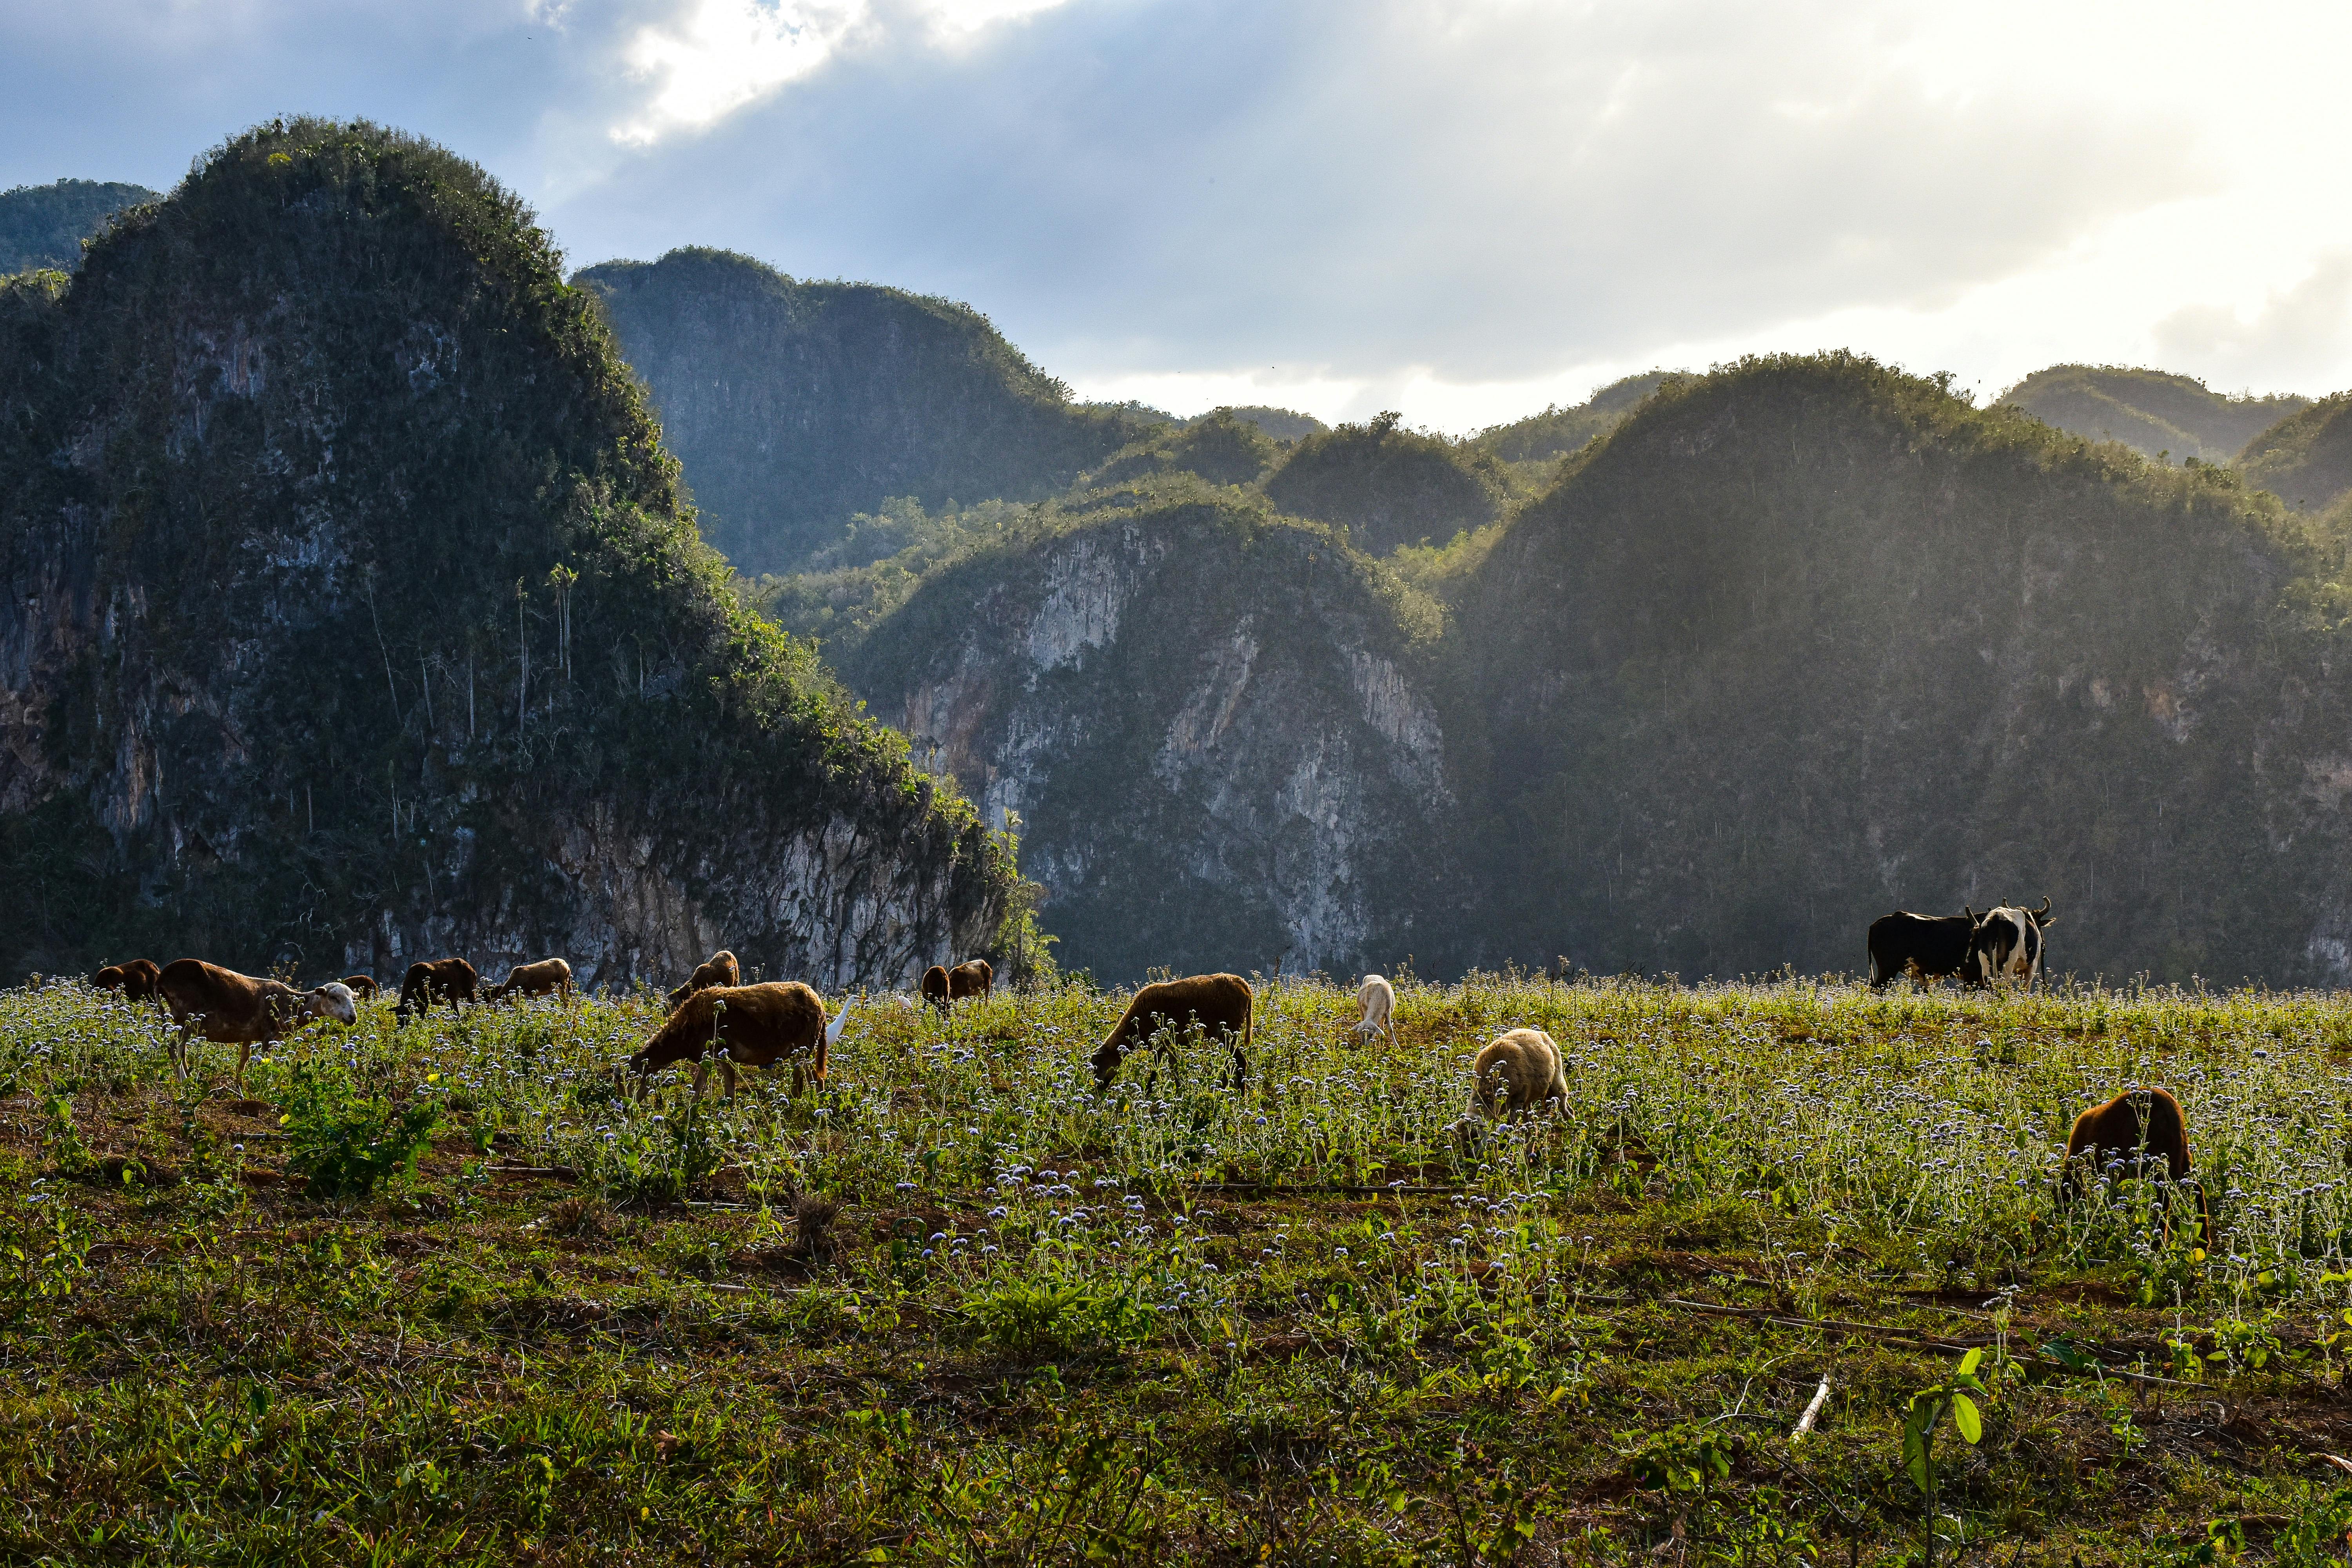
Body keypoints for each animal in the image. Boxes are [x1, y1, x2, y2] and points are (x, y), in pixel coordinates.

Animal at [157, 960, 357, 1092]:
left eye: (352, 998)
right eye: (334, 997)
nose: (352, 1018)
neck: (296, 1006)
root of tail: (163, 976)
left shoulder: (249, 1035)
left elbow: (244, 1058)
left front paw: (239, 1086)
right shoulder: (270, 1035)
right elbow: (265, 1061)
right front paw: (264, 1085)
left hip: (181, 1020)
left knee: (180, 1050)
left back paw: (189, 1078)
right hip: (188, 1016)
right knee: (174, 1048)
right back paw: (184, 1082)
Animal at [396, 958, 479, 1021]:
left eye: (408, 1016)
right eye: (397, 1016)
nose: (402, 1027)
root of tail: (472, 969)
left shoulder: (425, 1003)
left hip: (470, 990)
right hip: (453, 999)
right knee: (457, 1014)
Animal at [624, 982, 854, 1100]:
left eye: (632, 1079)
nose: (627, 1105)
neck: (685, 1032)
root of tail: (820, 1006)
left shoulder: (722, 1054)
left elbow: (729, 1088)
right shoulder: (708, 1059)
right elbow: (699, 1089)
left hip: (803, 1046)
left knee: (808, 1079)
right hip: (802, 1050)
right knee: (812, 1078)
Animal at [1091, 973, 1254, 1092]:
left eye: (1097, 1064)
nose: (1098, 1089)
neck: (1134, 1026)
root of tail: (1245, 987)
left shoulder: (1163, 1041)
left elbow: (1165, 1066)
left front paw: (1157, 1090)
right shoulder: (1163, 1044)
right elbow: (1165, 1065)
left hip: (1230, 1031)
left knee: (1235, 1062)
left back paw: (1230, 1090)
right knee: (1236, 1061)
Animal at [1354, 973, 1396, 1046]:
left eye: (1371, 1034)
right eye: (1359, 1034)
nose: (1365, 1046)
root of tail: (1373, 974)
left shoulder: (1388, 1012)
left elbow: (1391, 1029)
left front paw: (1397, 1046)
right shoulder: (1365, 1009)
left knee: (1382, 1026)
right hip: (1361, 1010)